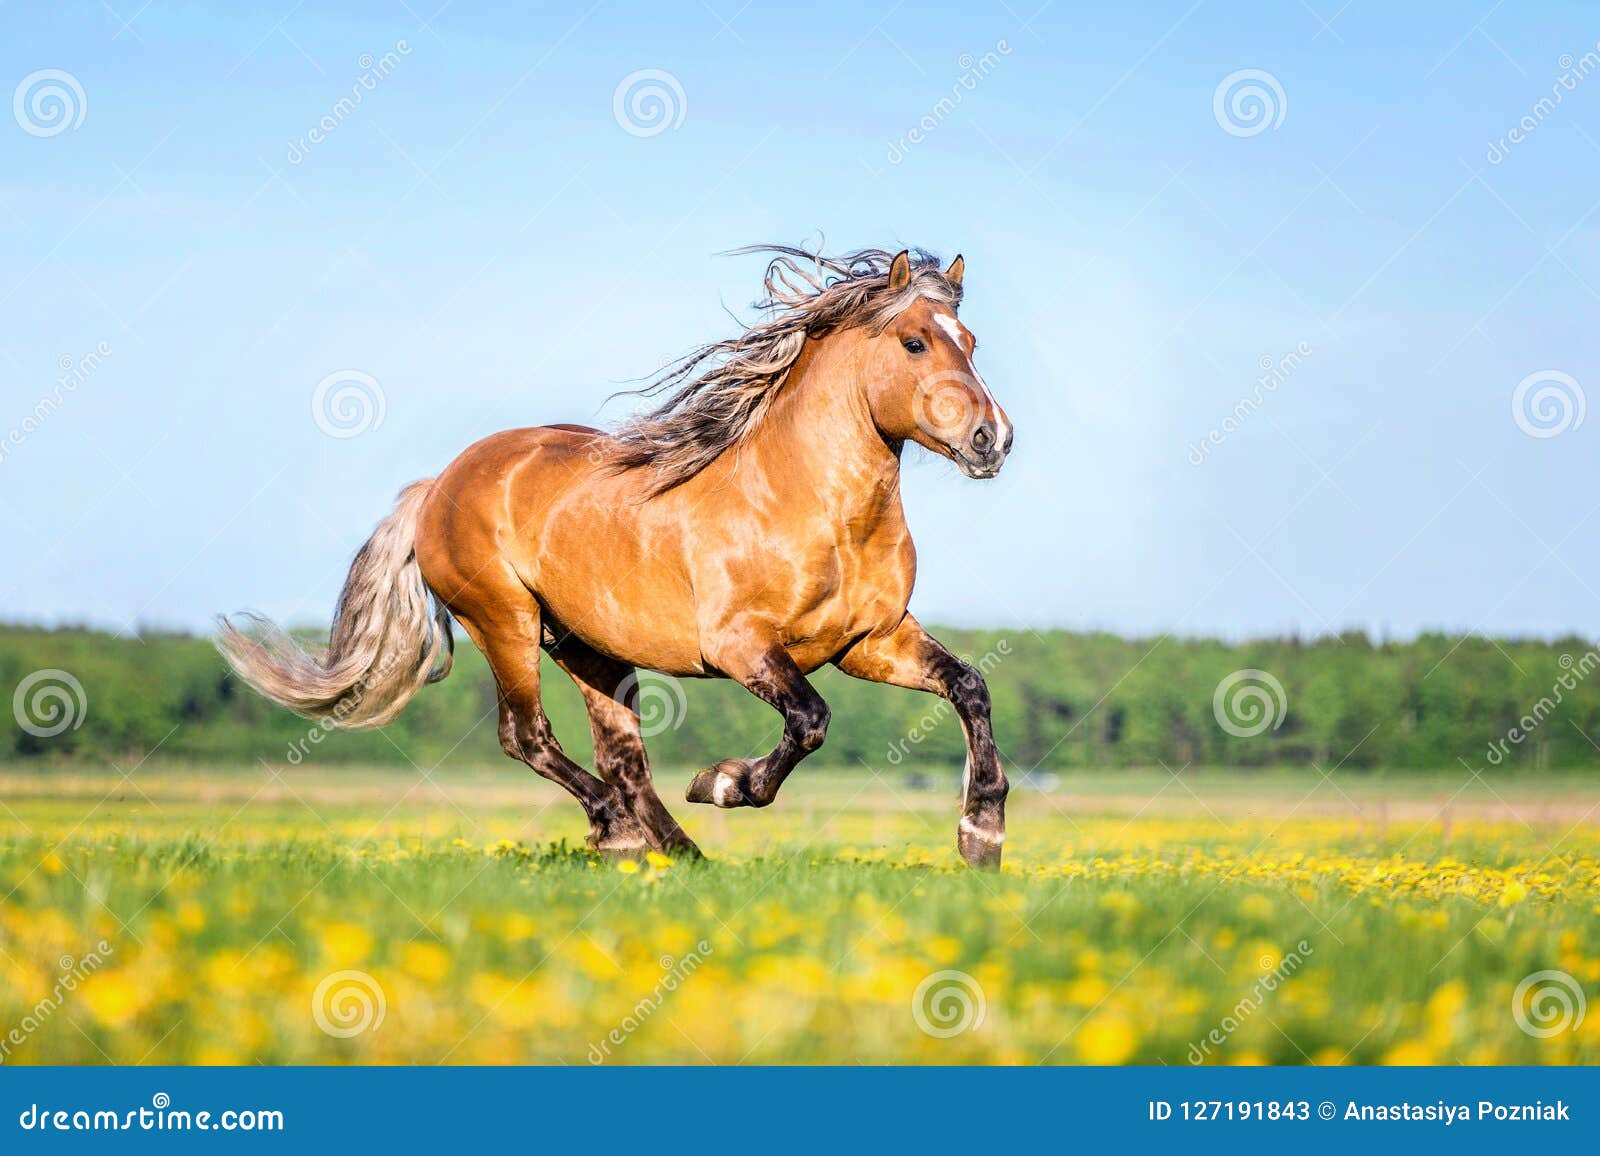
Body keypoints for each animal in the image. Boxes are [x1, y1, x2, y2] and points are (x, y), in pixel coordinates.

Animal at [217, 246, 1015, 868]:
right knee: (529, 738)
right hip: (504, 622)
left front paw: (981, 836)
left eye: (972, 341)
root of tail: (437, 485)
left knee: (621, 757)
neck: (817, 510)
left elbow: (969, 686)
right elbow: (811, 720)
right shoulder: (740, 646)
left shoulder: (870, 642)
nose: (992, 439)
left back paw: (672, 851)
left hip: (589, 646)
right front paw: (724, 783)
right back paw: (622, 831)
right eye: (915, 343)